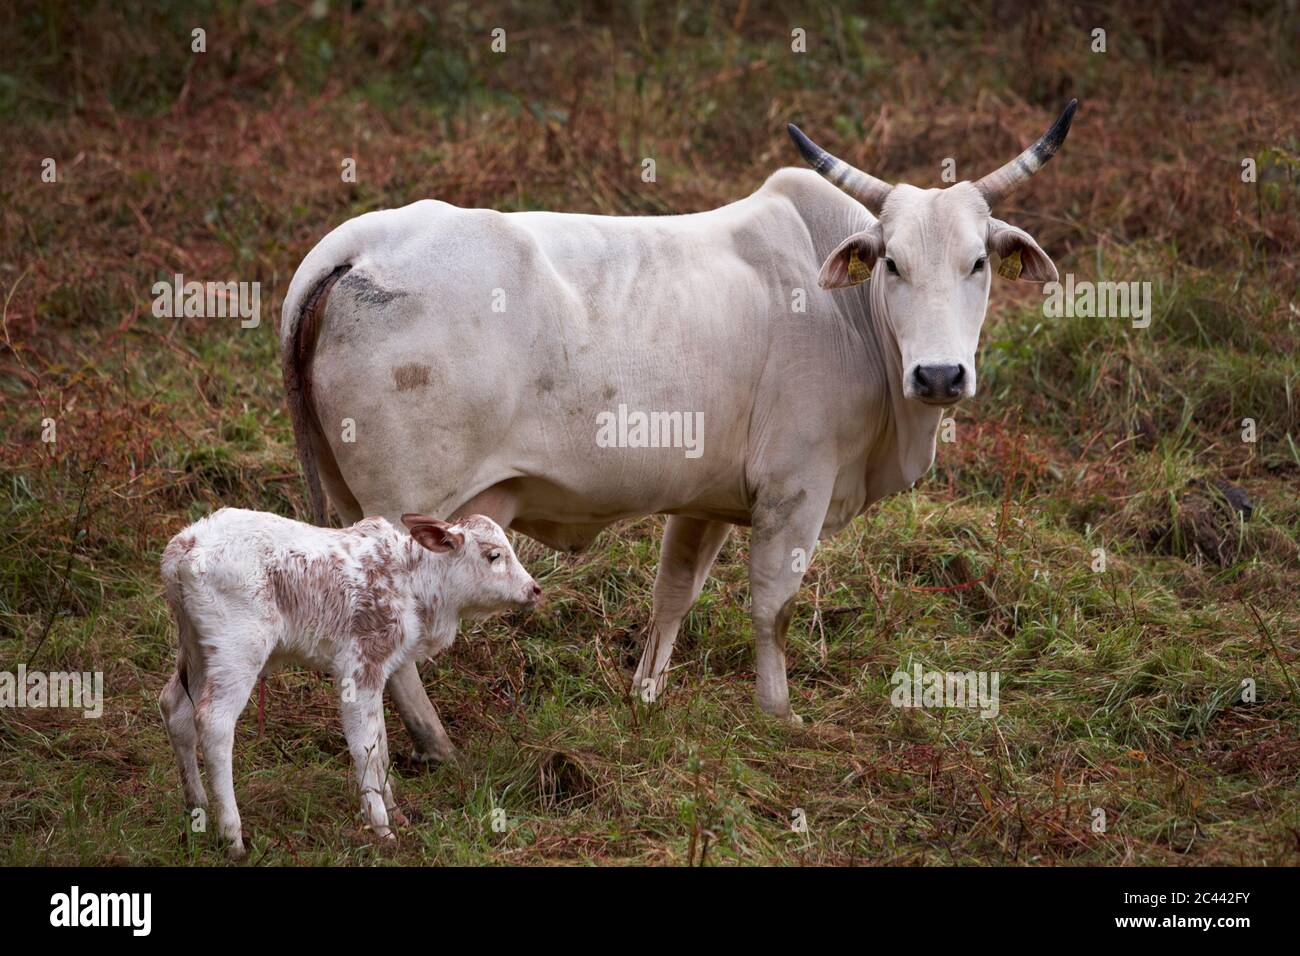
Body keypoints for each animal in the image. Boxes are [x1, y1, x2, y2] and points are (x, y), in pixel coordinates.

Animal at [158, 509, 540, 857]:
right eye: (494, 555)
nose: (534, 589)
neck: (414, 585)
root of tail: (183, 548)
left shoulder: (381, 671)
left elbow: (381, 745)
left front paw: (397, 813)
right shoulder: (358, 667)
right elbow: (364, 746)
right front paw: (382, 827)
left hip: (196, 649)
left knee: (174, 707)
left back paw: (197, 808)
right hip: (238, 649)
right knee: (214, 723)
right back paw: (232, 835)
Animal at [279, 100, 1077, 757]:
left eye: (978, 263)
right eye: (894, 264)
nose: (939, 376)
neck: (848, 315)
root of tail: (358, 244)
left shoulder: (707, 500)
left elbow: (674, 594)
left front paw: (645, 696)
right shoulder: (796, 489)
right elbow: (773, 606)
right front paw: (778, 713)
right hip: (407, 512)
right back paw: (436, 741)